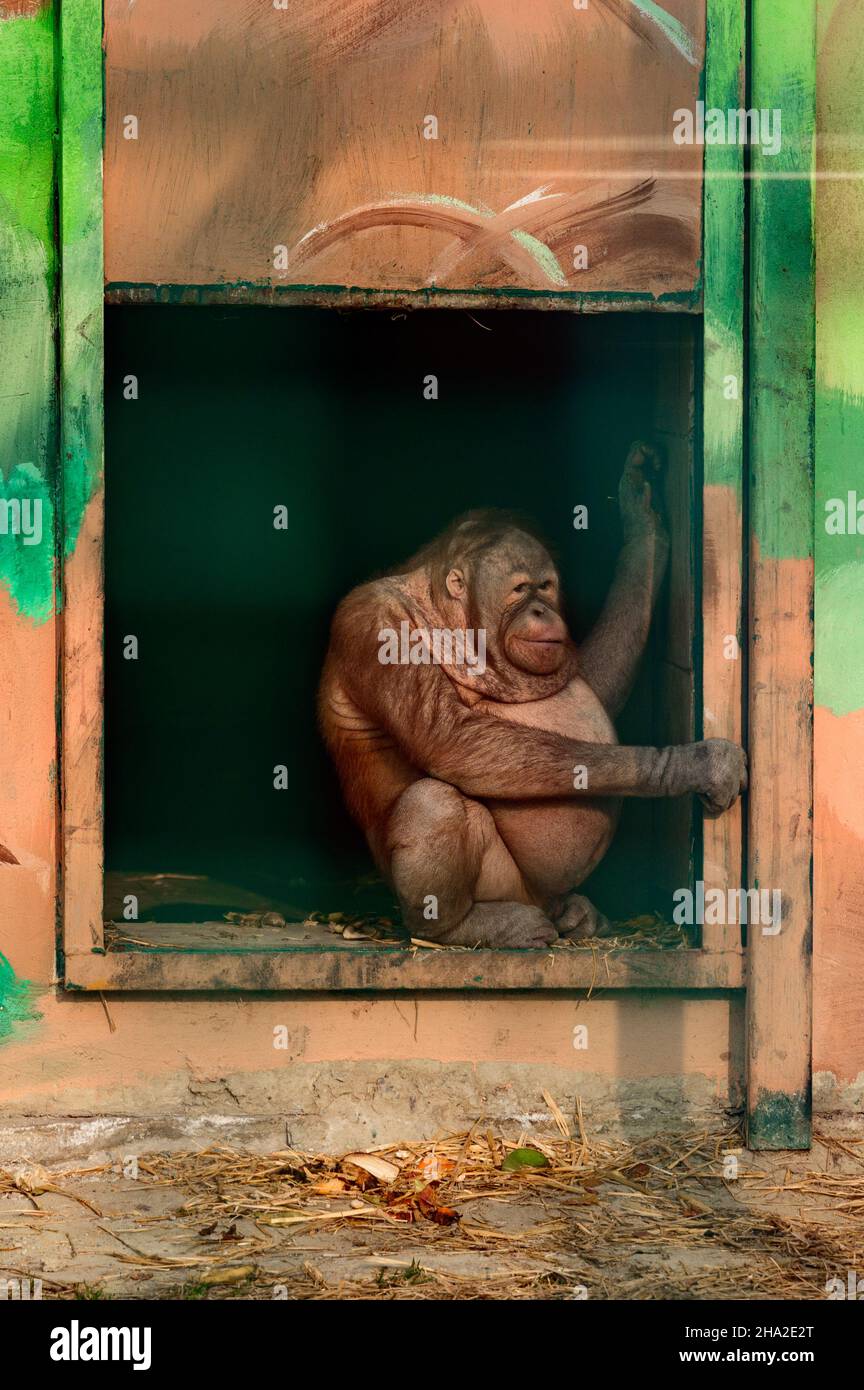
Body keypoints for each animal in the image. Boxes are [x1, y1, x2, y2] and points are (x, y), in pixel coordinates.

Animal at [318, 442, 747, 948]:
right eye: (520, 589)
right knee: (433, 803)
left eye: (546, 586)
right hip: (509, 885)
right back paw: (465, 926)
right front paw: (687, 764)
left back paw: (578, 917)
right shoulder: (375, 622)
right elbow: (448, 738)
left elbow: (592, 682)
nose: (542, 610)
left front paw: (642, 514)